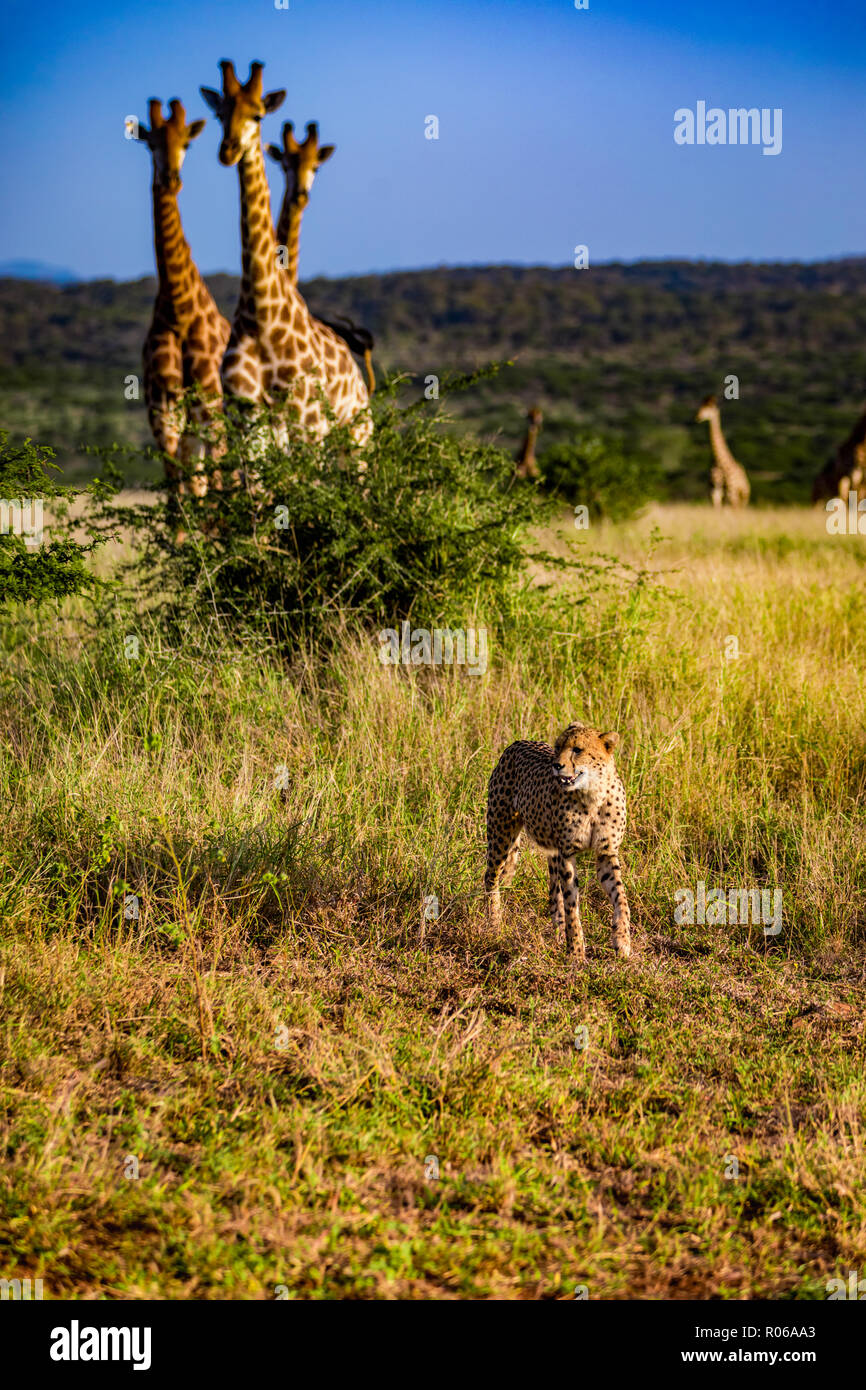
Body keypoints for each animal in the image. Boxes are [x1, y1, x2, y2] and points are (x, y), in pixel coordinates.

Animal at [484, 722, 631, 961]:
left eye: (578, 749)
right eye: (558, 746)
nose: (556, 765)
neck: (593, 794)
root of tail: (517, 743)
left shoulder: (605, 853)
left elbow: (620, 897)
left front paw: (622, 940)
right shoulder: (567, 853)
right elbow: (572, 905)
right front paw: (576, 953)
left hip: (551, 850)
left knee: (553, 894)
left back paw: (559, 933)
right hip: (501, 831)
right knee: (491, 876)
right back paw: (494, 923)